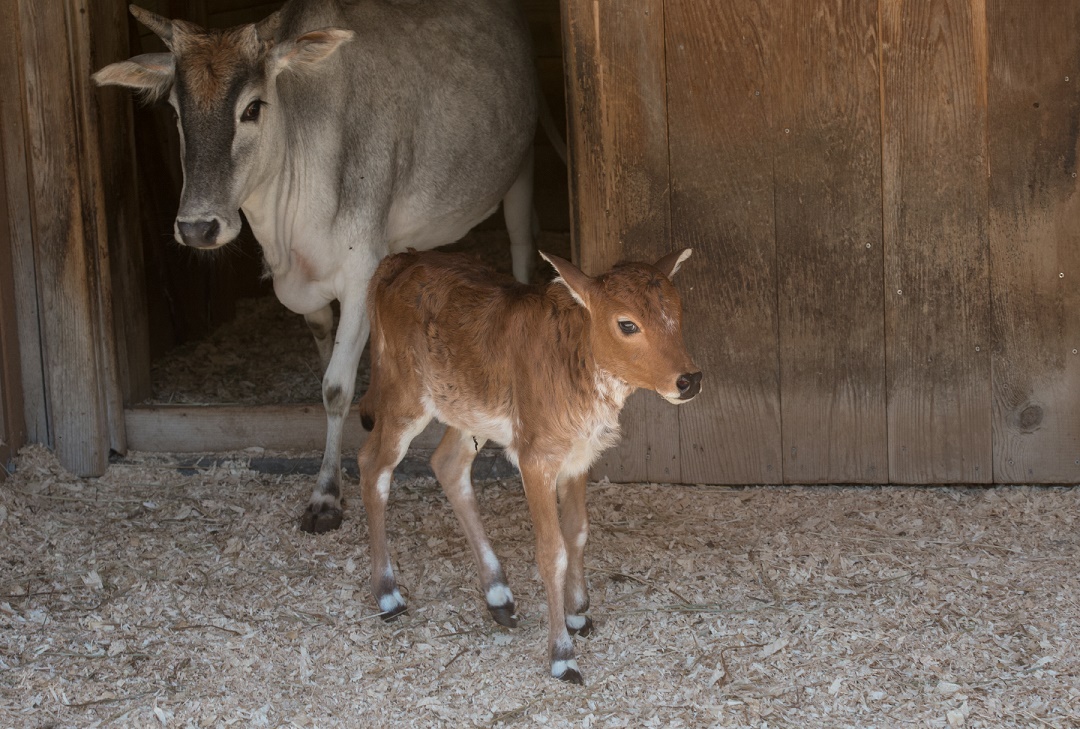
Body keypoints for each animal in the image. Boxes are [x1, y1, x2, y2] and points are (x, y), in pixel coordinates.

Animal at [93, 0, 541, 533]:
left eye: (252, 108)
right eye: (177, 112)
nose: (198, 227)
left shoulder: (360, 270)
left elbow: (334, 387)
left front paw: (326, 496)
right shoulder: (310, 287)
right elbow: (326, 363)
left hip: (519, 174)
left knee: (520, 251)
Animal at [356, 248, 702, 684]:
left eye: (679, 311)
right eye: (627, 324)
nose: (690, 379)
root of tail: (397, 261)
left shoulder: (579, 455)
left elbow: (578, 532)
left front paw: (577, 613)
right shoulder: (535, 456)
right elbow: (552, 551)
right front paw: (562, 655)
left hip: (468, 410)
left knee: (447, 464)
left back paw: (498, 596)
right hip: (403, 393)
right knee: (373, 465)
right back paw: (388, 595)